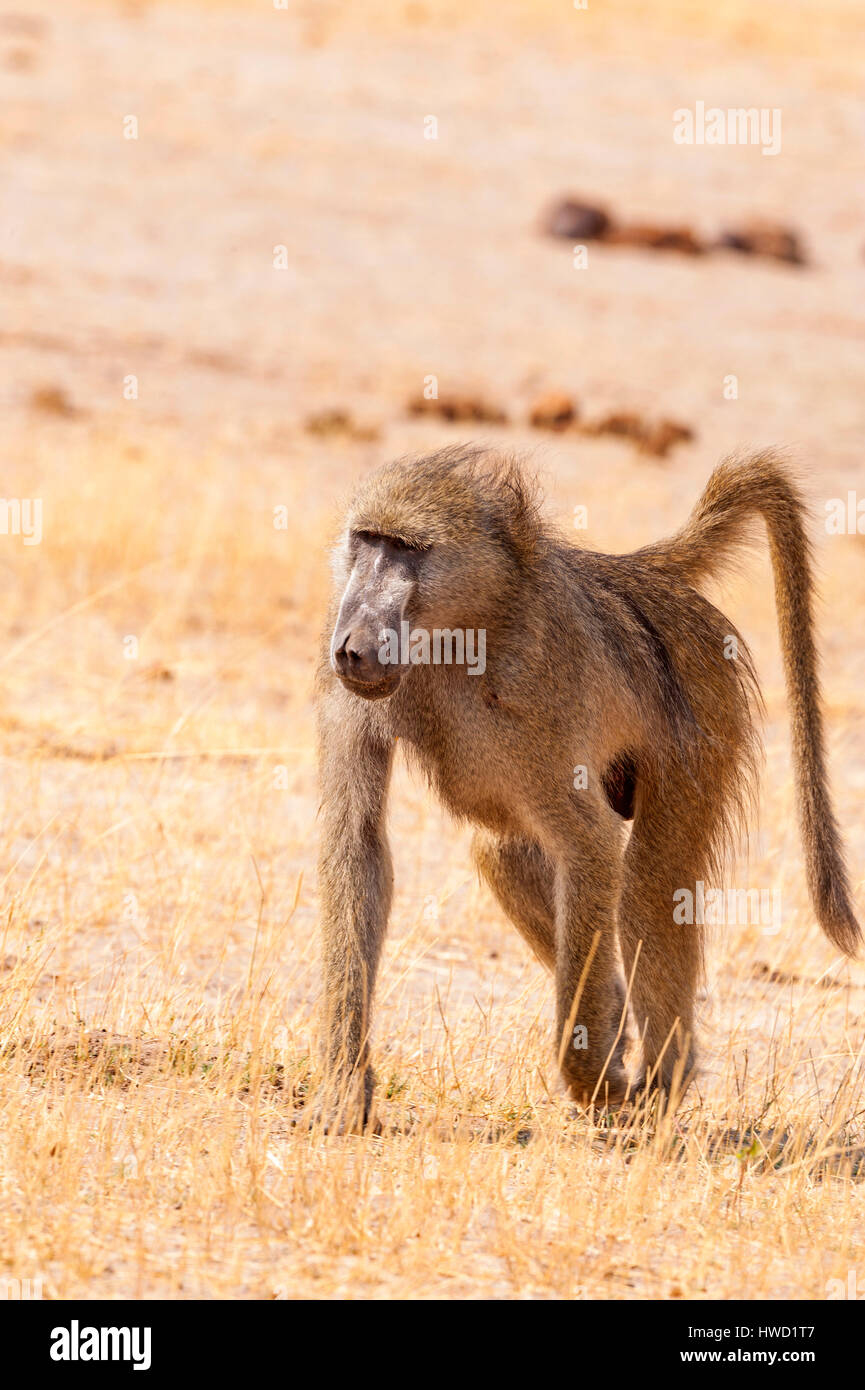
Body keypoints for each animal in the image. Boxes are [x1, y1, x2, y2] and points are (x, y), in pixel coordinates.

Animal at [314, 445, 860, 1129]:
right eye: (367, 541)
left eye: (406, 548)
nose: (353, 646)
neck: (463, 625)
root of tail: (639, 578)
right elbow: (357, 844)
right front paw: (343, 1088)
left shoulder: (537, 690)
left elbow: (591, 847)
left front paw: (592, 1075)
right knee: (502, 853)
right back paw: (626, 1033)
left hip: (704, 713)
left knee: (648, 885)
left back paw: (662, 1085)